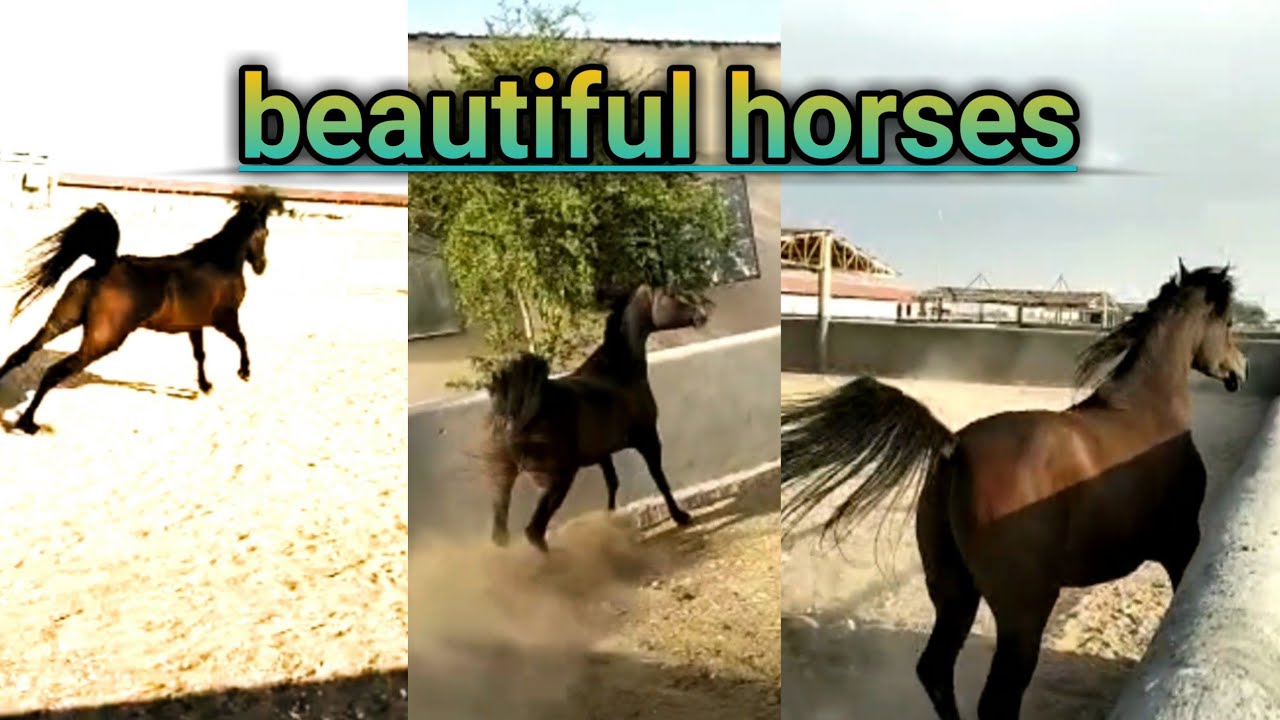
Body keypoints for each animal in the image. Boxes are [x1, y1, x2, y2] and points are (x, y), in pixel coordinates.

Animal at [0, 185, 285, 434]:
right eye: (265, 233)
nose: (261, 266)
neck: (220, 263)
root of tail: (104, 264)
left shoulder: (195, 325)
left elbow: (200, 355)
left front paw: (205, 386)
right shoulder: (225, 319)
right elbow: (242, 341)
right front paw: (244, 372)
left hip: (63, 321)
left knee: (20, 354)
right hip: (102, 341)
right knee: (52, 372)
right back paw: (27, 423)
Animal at [484, 284, 711, 552]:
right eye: (672, 295)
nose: (701, 315)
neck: (617, 371)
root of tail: (512, 412)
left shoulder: (604, 453)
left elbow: (613, 483)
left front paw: (610, 521)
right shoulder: (648, 439)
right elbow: (659, 478)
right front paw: (680, 516)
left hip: (504, 480)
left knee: (501, 533)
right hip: (557, 479)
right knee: (534, 531)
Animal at [780, 261, 1247, 720]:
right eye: (1227, 322)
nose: (1240, 370)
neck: (1147, 409)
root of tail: (955, 446)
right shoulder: (1181, 543)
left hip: (955, 594)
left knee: (935, 671)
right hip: (1023, 612)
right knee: (996, 701)